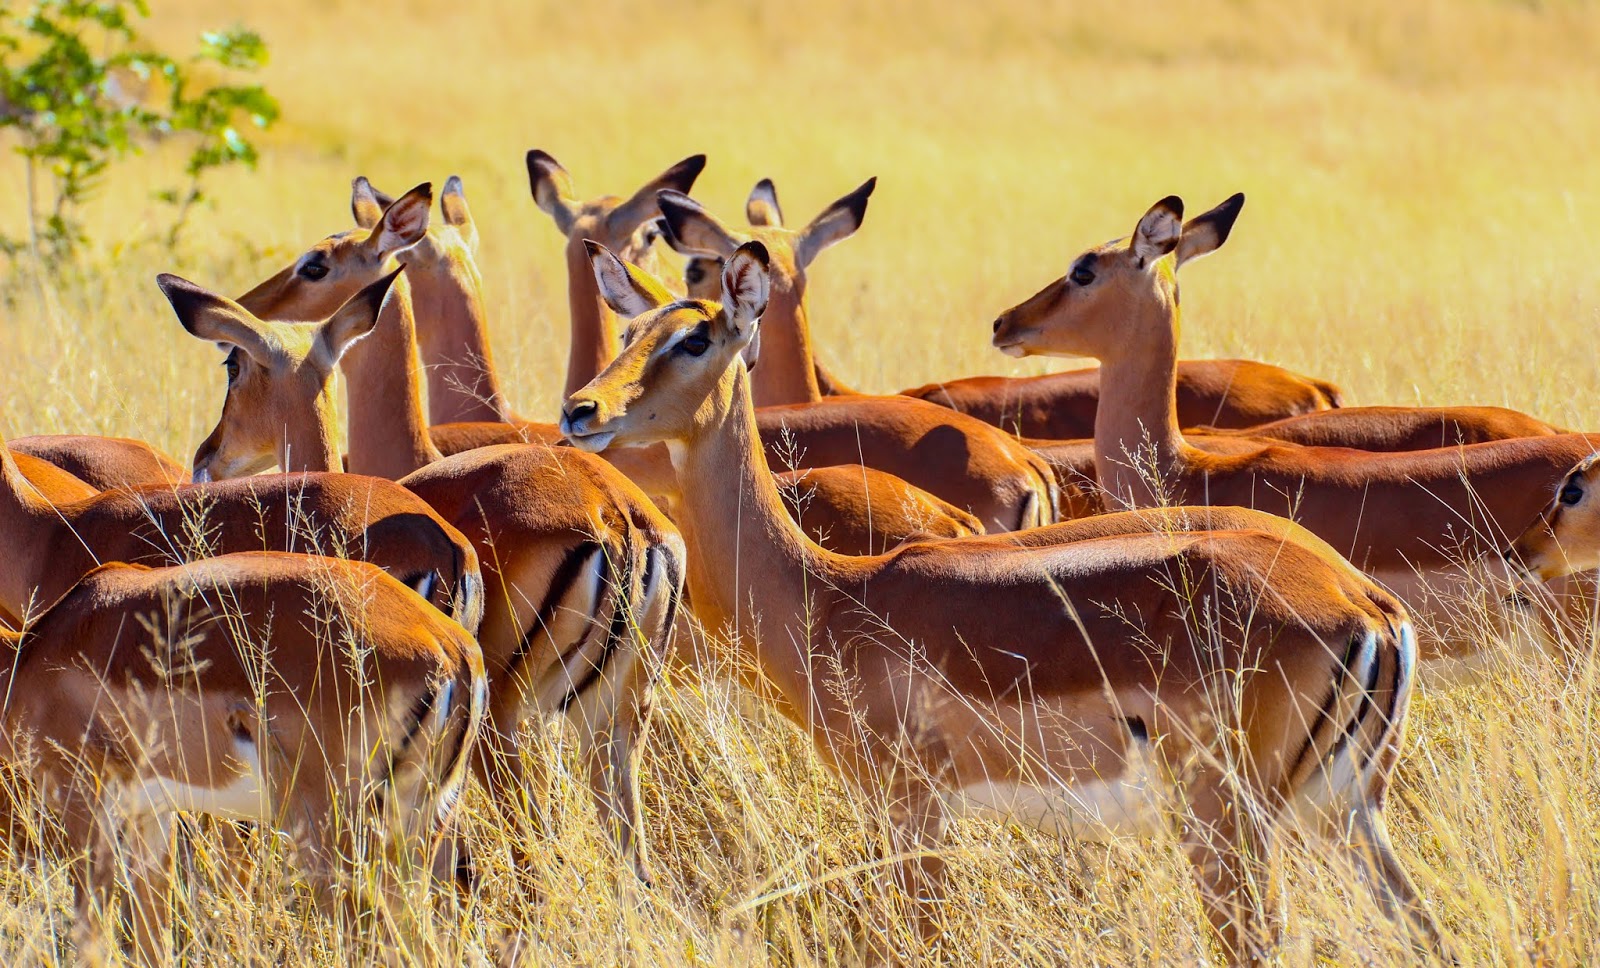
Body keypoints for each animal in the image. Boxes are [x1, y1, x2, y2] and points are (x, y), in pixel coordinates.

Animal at [0, 551, 484, 959]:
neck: (33, 652)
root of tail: (450, 647)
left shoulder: (83, 807)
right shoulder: (150, 814)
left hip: (333, 837)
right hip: (420, 832)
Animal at [561, 239, 1447, 965]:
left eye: (695, 337)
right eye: (632, 333)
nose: (581, 411)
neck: (828, 596)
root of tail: (1367, 606)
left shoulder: (912, 811)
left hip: (1230, 824)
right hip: (1344, 814)